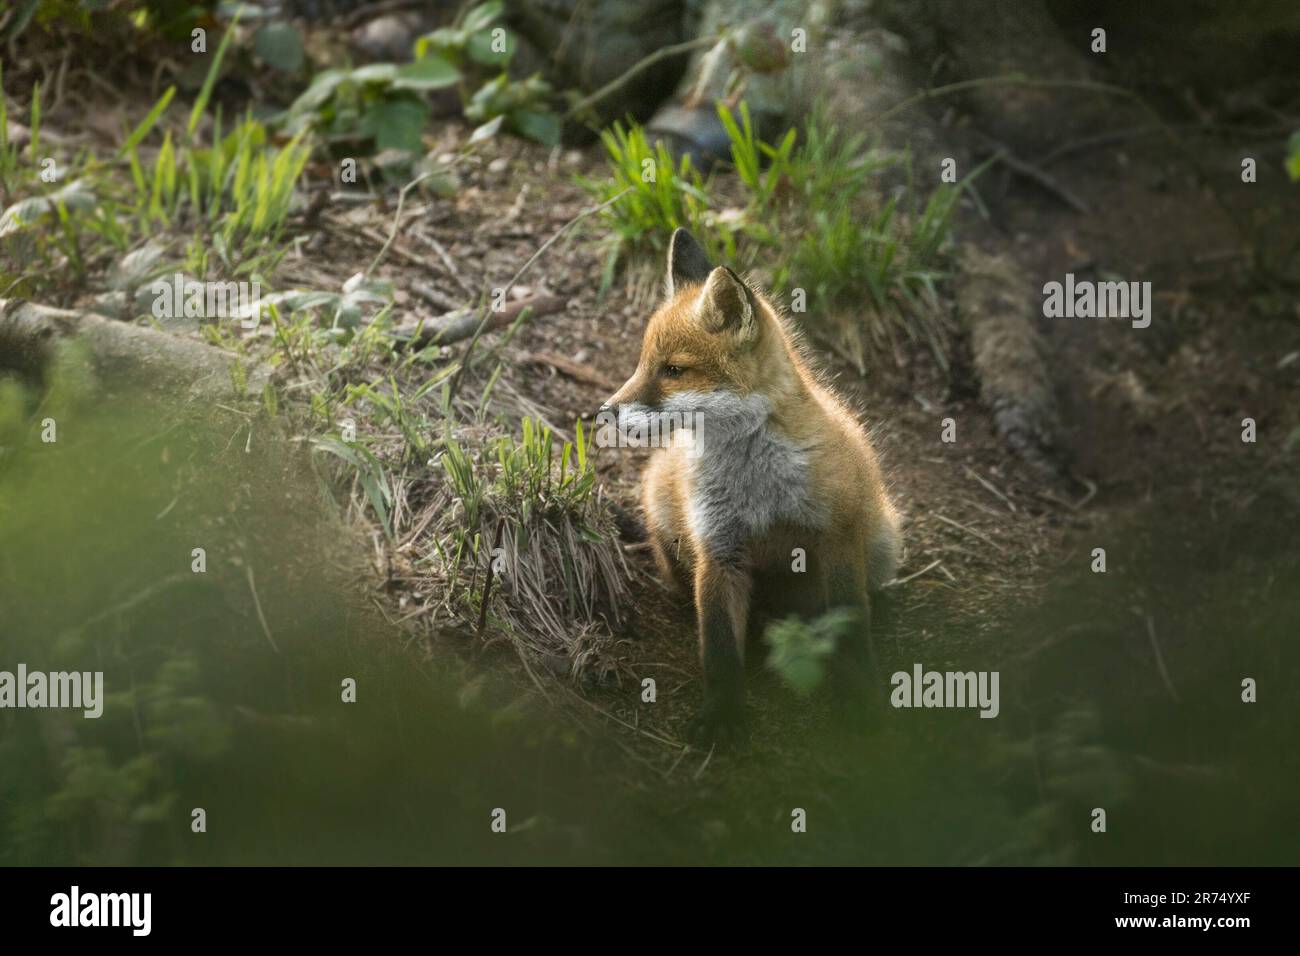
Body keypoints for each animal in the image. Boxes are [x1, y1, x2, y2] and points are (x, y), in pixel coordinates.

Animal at [603, 228, 902, 743]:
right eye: (643, 364)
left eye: (672, 370)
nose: (606, 412)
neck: (755, 485)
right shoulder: (718, 549)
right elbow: (720, 649)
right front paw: (722, 718)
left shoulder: (838, 538)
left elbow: (849, 628)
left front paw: (860, 703)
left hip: (883, 542)